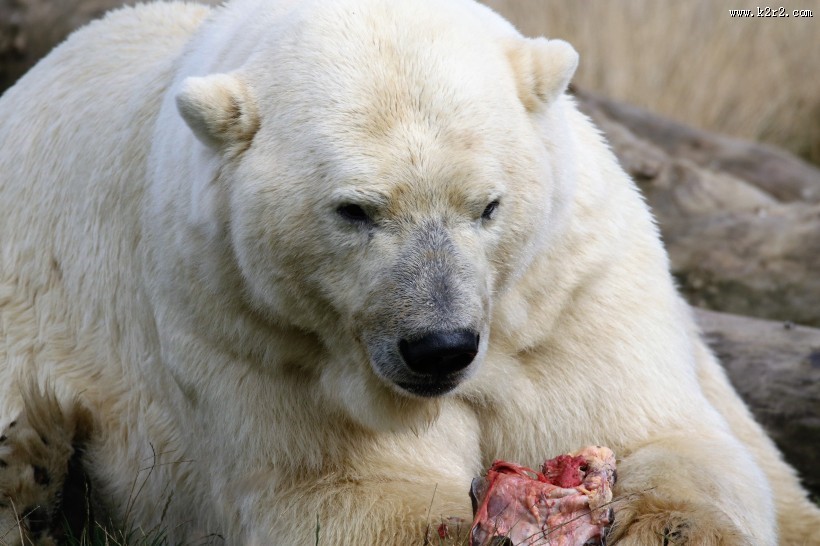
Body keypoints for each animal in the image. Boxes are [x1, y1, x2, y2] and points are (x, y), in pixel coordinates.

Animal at [1, 0, 818, 544]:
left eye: (488, 205)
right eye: (355, 210)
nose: (440, 348)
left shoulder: (569, 295)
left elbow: (662, 438)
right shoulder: (253, 332)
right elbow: (355, 493)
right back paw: (32, 465)